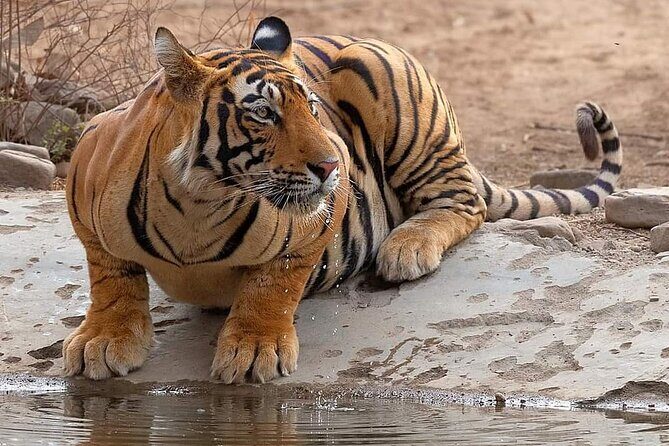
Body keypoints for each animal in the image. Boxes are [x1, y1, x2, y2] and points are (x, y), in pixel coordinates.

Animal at [64, 17, 622, 383]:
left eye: (312, 107)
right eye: (262, 112)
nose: (334, 166)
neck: (198, 204)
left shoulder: (314, 225)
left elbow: (273, 282)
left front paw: (253, 348)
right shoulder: (84, 183)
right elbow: (110, 275)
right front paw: (104, 340)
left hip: (391, 91)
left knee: (465, 202)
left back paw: (406, 249)